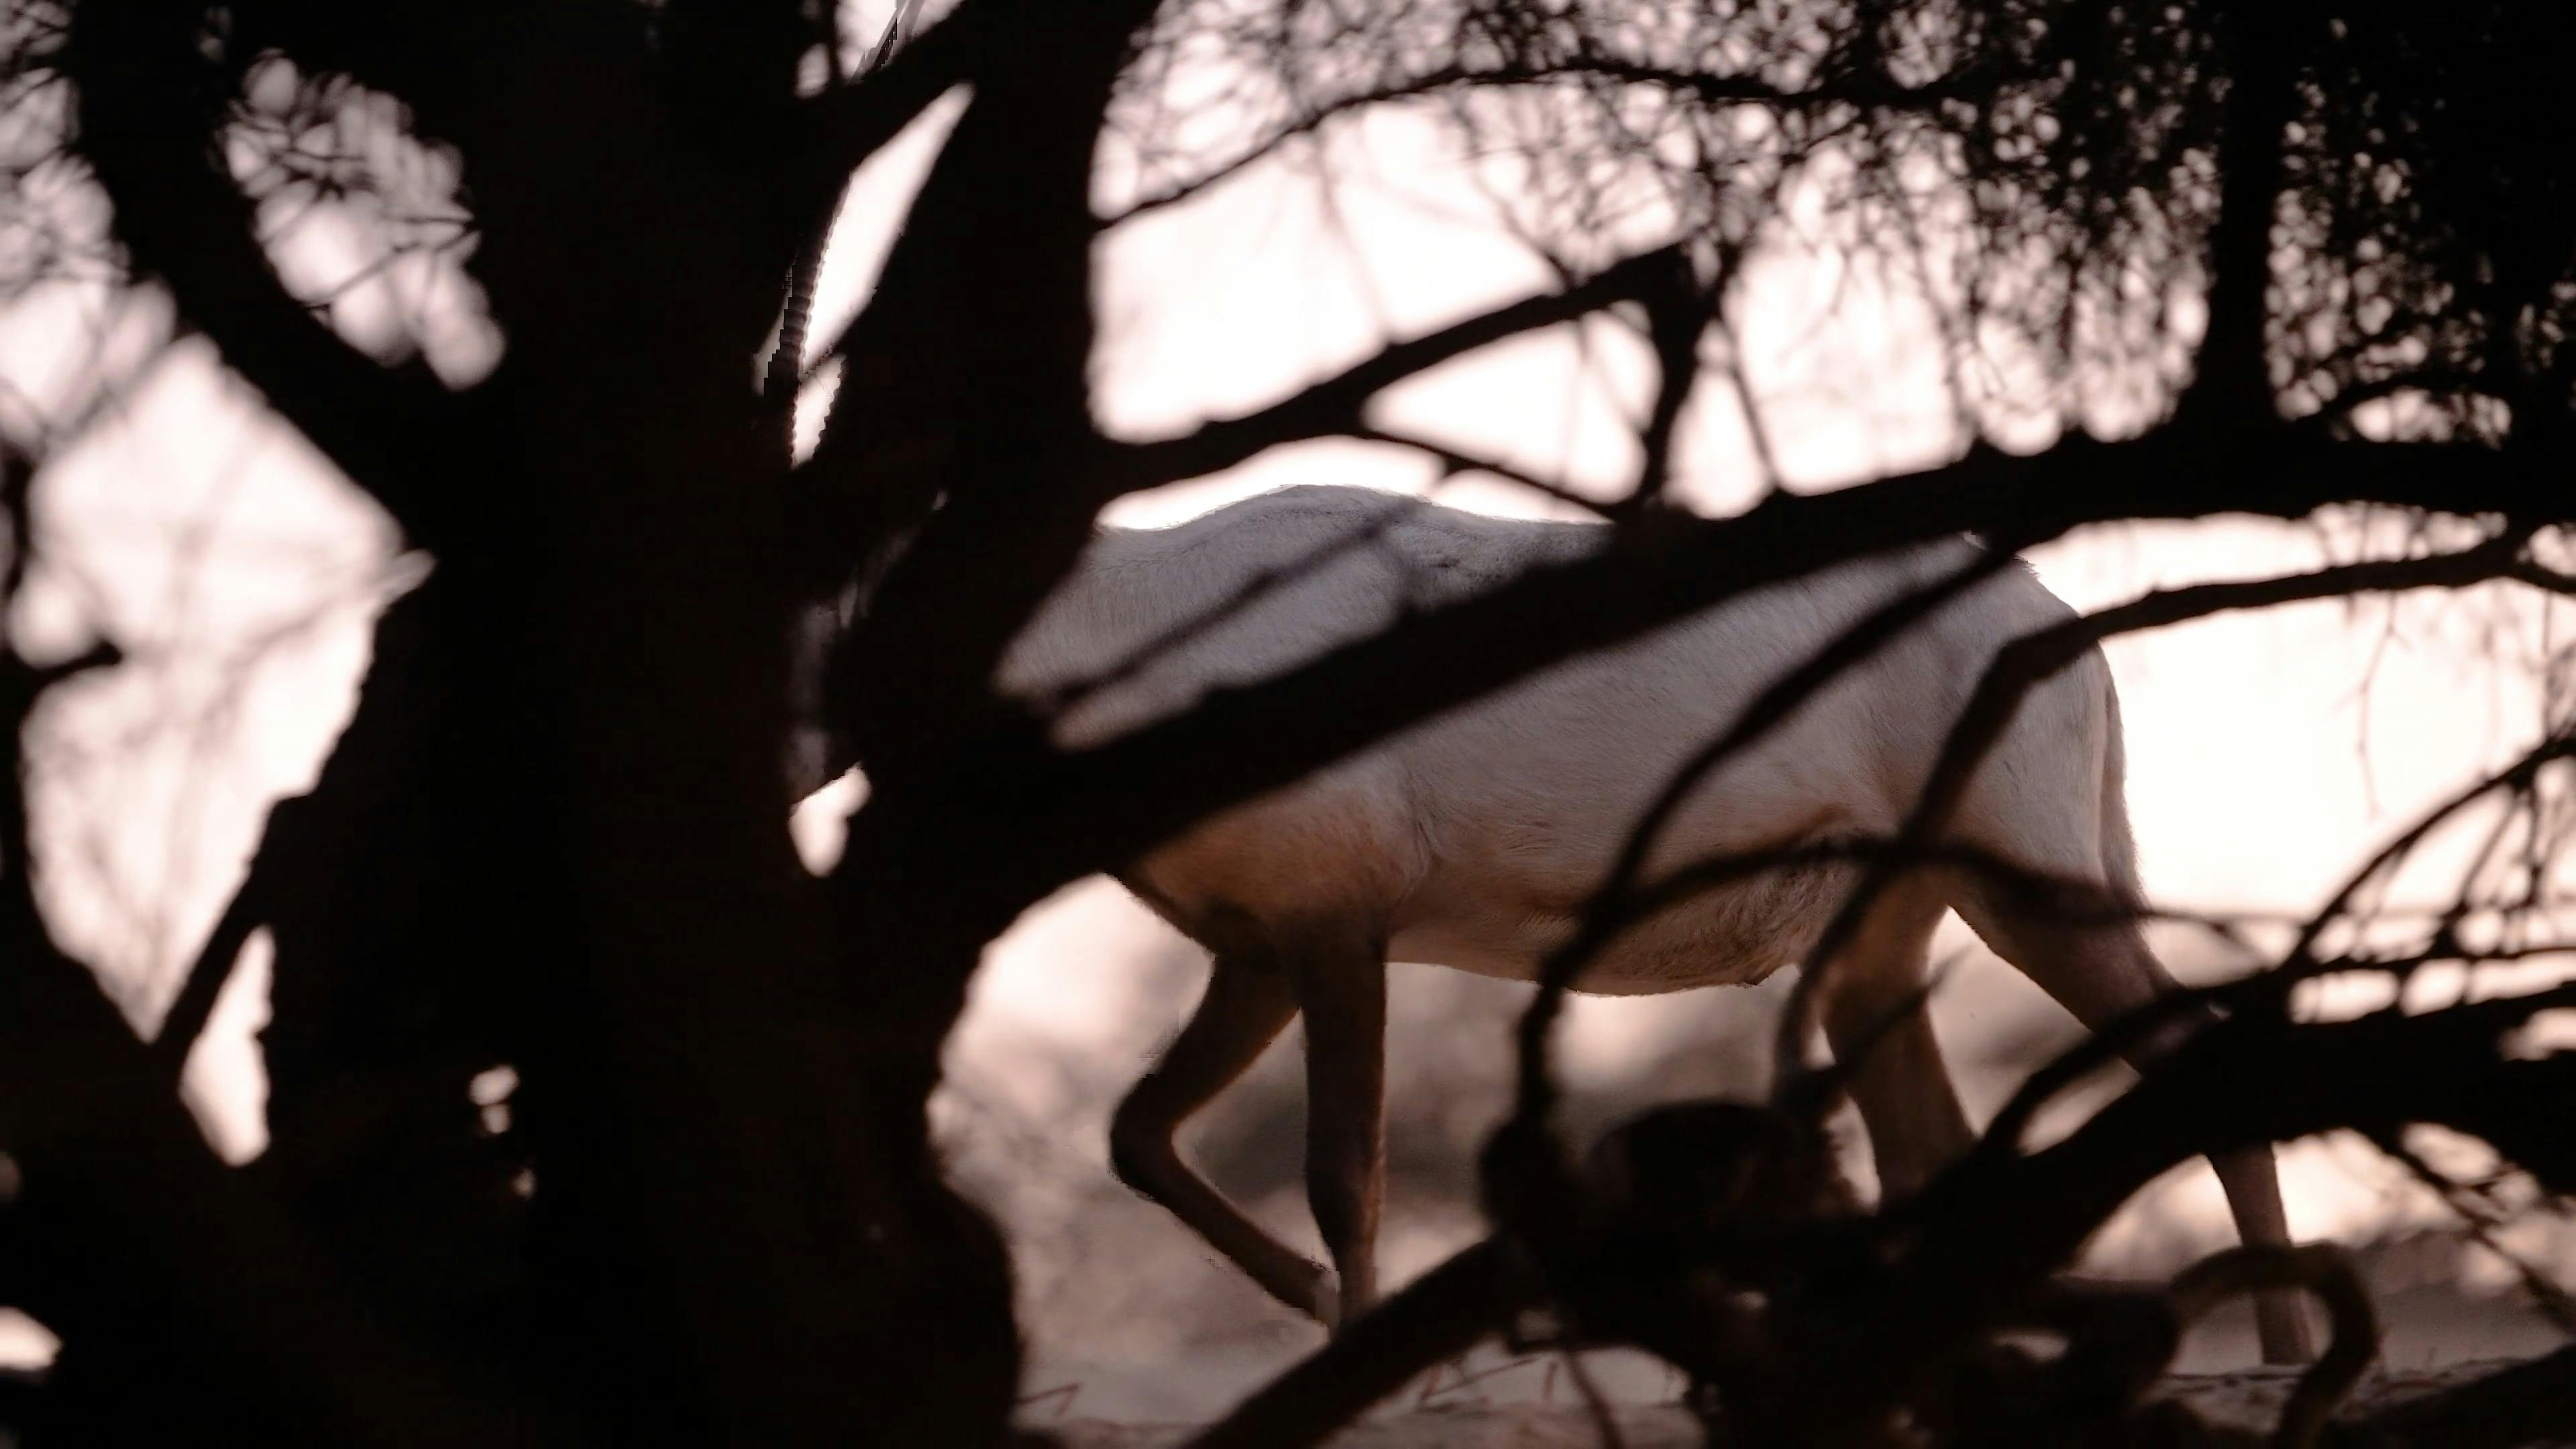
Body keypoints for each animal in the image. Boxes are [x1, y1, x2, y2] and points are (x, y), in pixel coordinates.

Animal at [803, 483, 2316, 1365]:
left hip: (2026, 887)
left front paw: (1358, 1346)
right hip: (1886, 937)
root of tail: (2060, 625)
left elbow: (1340, 1171)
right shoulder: (1258, 947)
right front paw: (1311, 1304)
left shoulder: (1340, 931)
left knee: (2186, 1058)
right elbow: (1136, 1135)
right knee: (1924, 1147)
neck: (1148, 612)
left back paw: (2290, 1347)